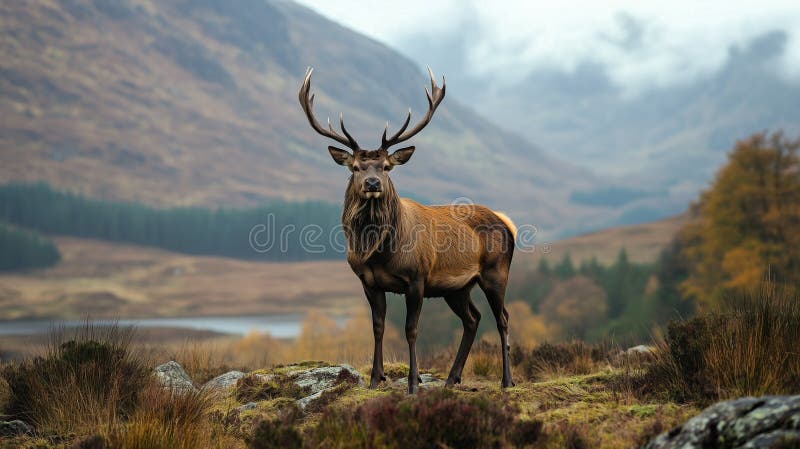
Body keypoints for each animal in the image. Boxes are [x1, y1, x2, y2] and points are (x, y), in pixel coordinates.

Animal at [298, 67, 516, 393]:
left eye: (387, 167)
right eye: (355, 167)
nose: (372, 183)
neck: (381, 253)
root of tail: (507, 223)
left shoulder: (417, 278)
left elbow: (411, 329)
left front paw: (413, 383)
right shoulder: (369, 282)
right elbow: (378, 327)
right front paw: (375, 379)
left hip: (495, 272)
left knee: (502, 318)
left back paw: (507, 380)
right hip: (457, 287)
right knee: (472, 319)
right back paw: (451, 378)